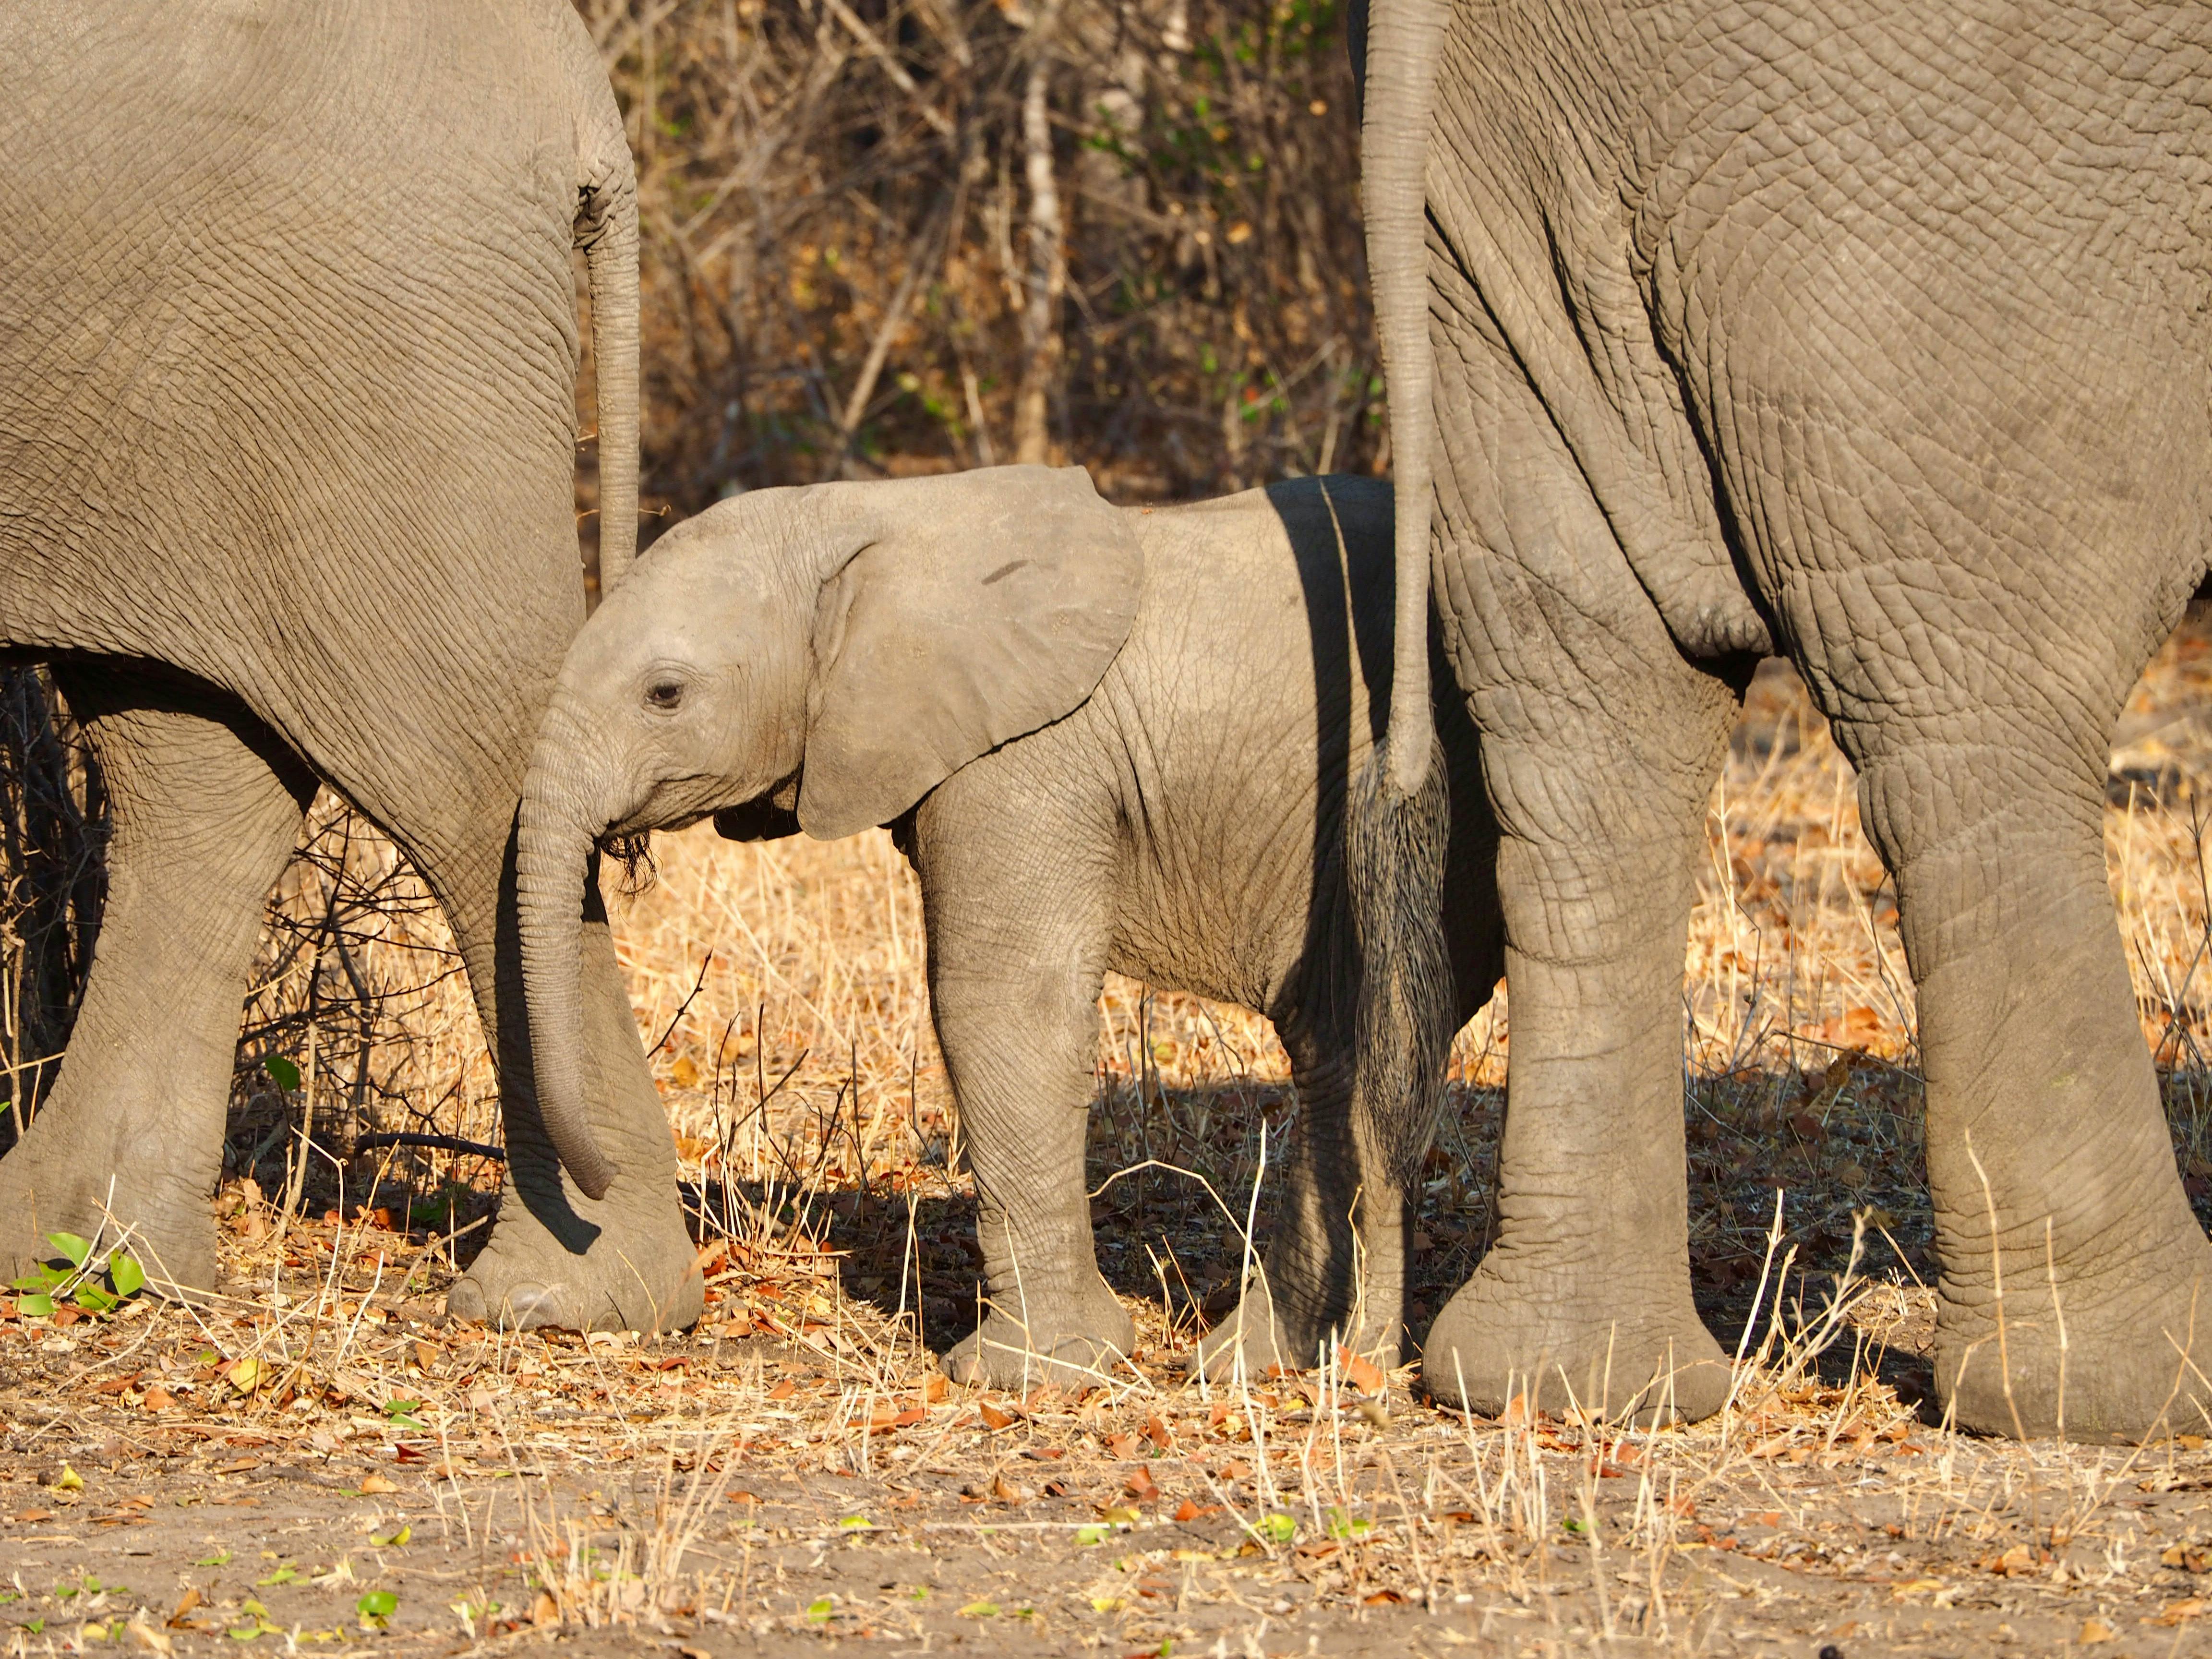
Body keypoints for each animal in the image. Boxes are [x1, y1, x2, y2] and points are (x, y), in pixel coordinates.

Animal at [0, 0, 703, 1335]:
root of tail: (579, 89)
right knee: (187, 757)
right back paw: (78, 1256)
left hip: (375, 341)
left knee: (472, 763)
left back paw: (565, 1297)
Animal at [513, 466, 1504, 1387]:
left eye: (665, 695)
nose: (597, 1182)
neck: (873, 515)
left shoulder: (1026, 753)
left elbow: (999, 1000)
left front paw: (1027, 1375)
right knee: (1352, 1044)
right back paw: (1286, 1366)